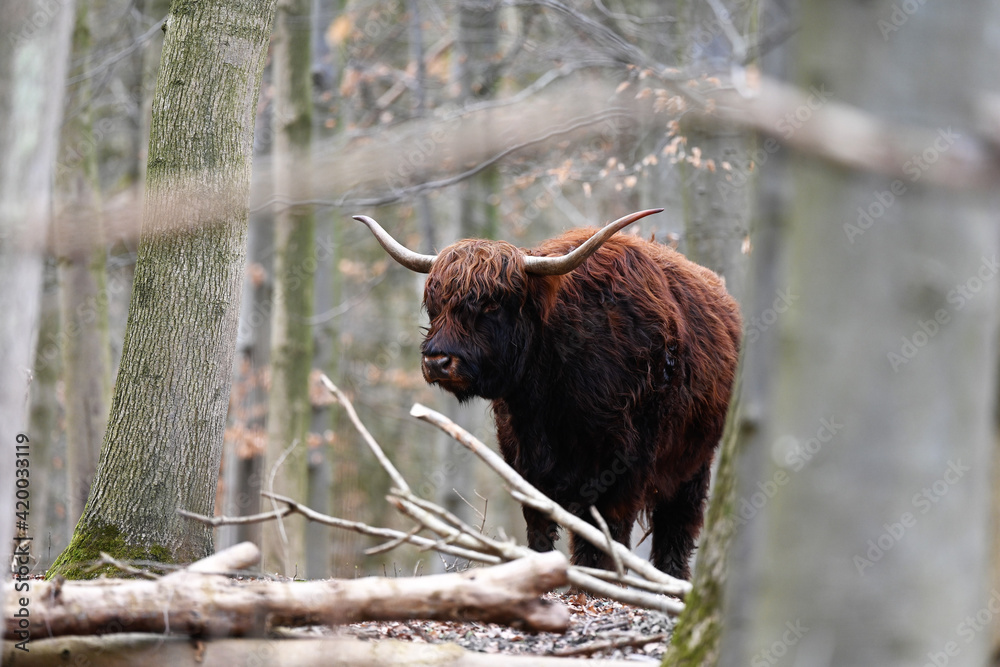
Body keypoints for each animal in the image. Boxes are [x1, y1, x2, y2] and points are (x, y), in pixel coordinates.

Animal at [353, 209, 741, 579]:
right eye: (434, 306)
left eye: (491, 305)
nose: (437, 360)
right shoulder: (523, 454)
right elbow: (540, 521)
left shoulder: (623, 460)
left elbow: (607, 527)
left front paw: (602, 577)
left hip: (694, 460)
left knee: (678, 523)